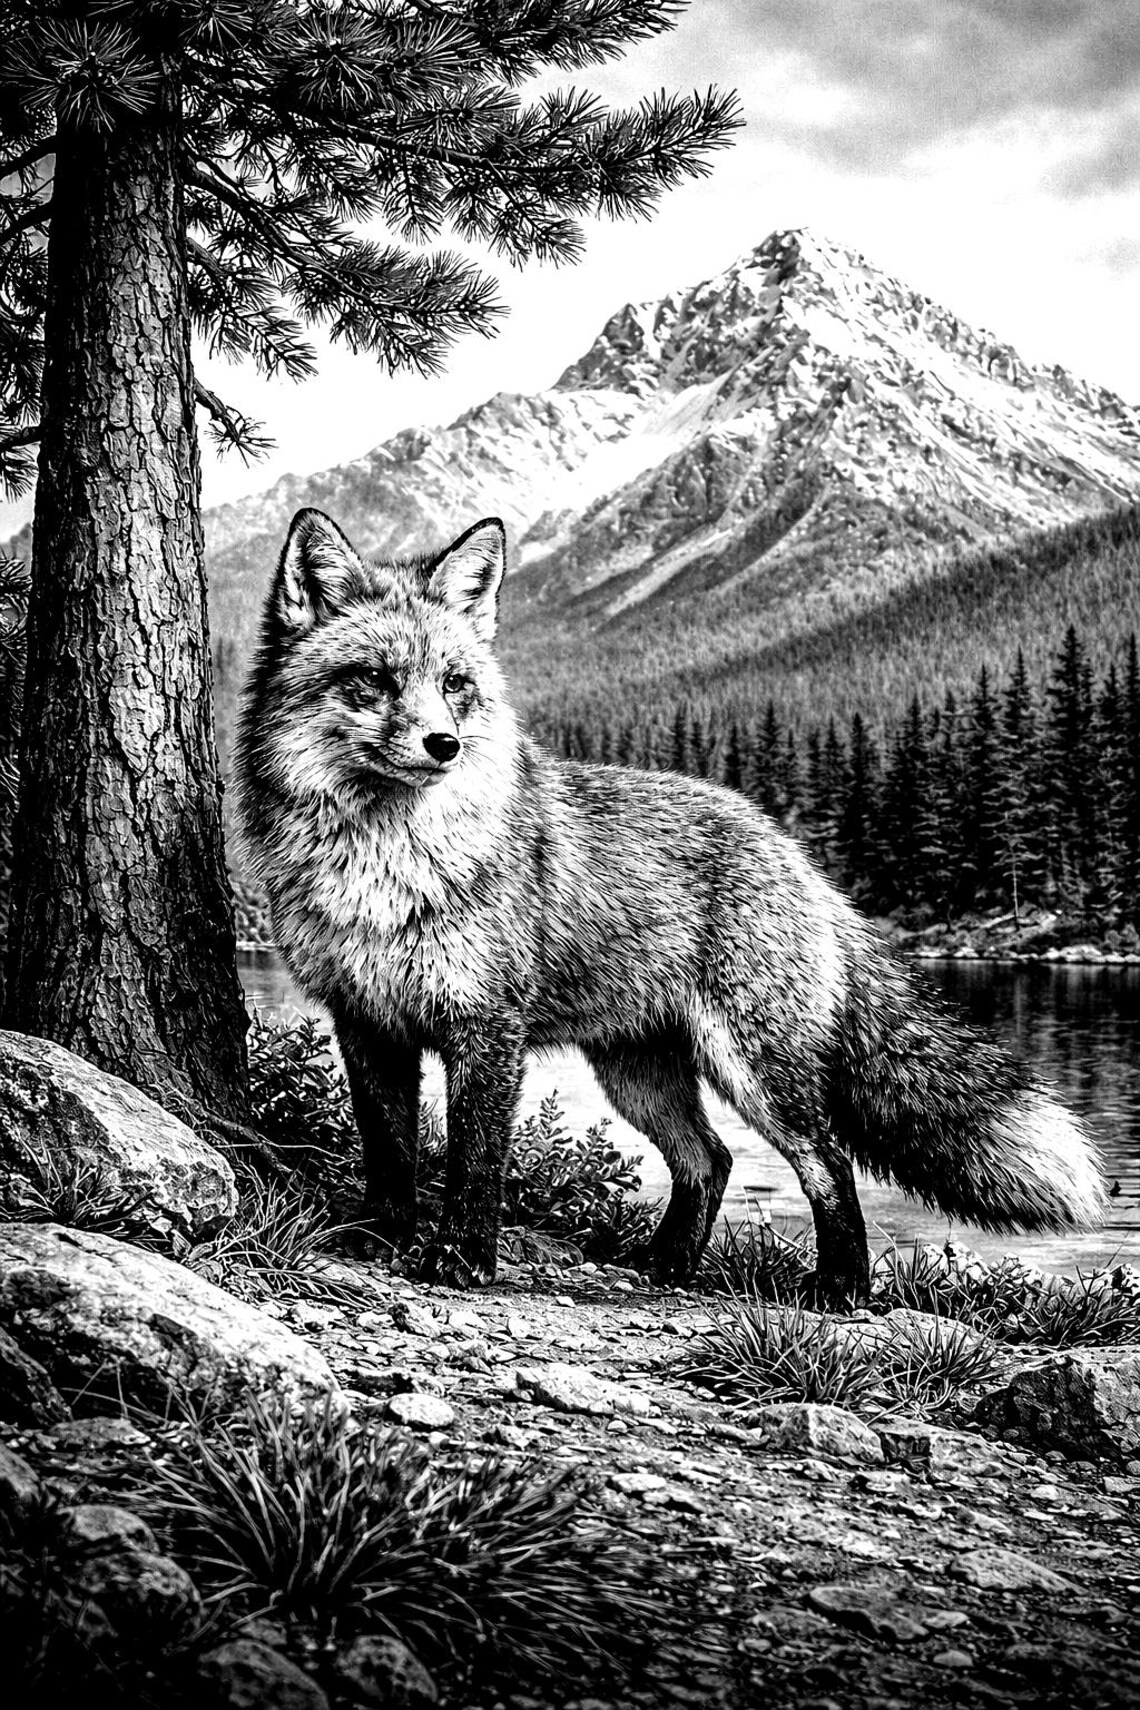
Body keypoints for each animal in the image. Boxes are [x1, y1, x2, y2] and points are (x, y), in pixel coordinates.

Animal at [234, 507, 1107, 1301]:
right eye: (374, 680)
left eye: (456, 685)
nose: (443, 745)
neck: (382, 871)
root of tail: (793, 851)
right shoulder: (366, 1020)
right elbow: (388, 1150)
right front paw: (379, 1235)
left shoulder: (486, 1027)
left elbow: (476, 1162)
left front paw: (462, 1259)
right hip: (637, 1073)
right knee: (710, 1160)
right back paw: (668, 1264)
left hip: (756, 1069)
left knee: (828, 1162)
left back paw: (843, 1285)